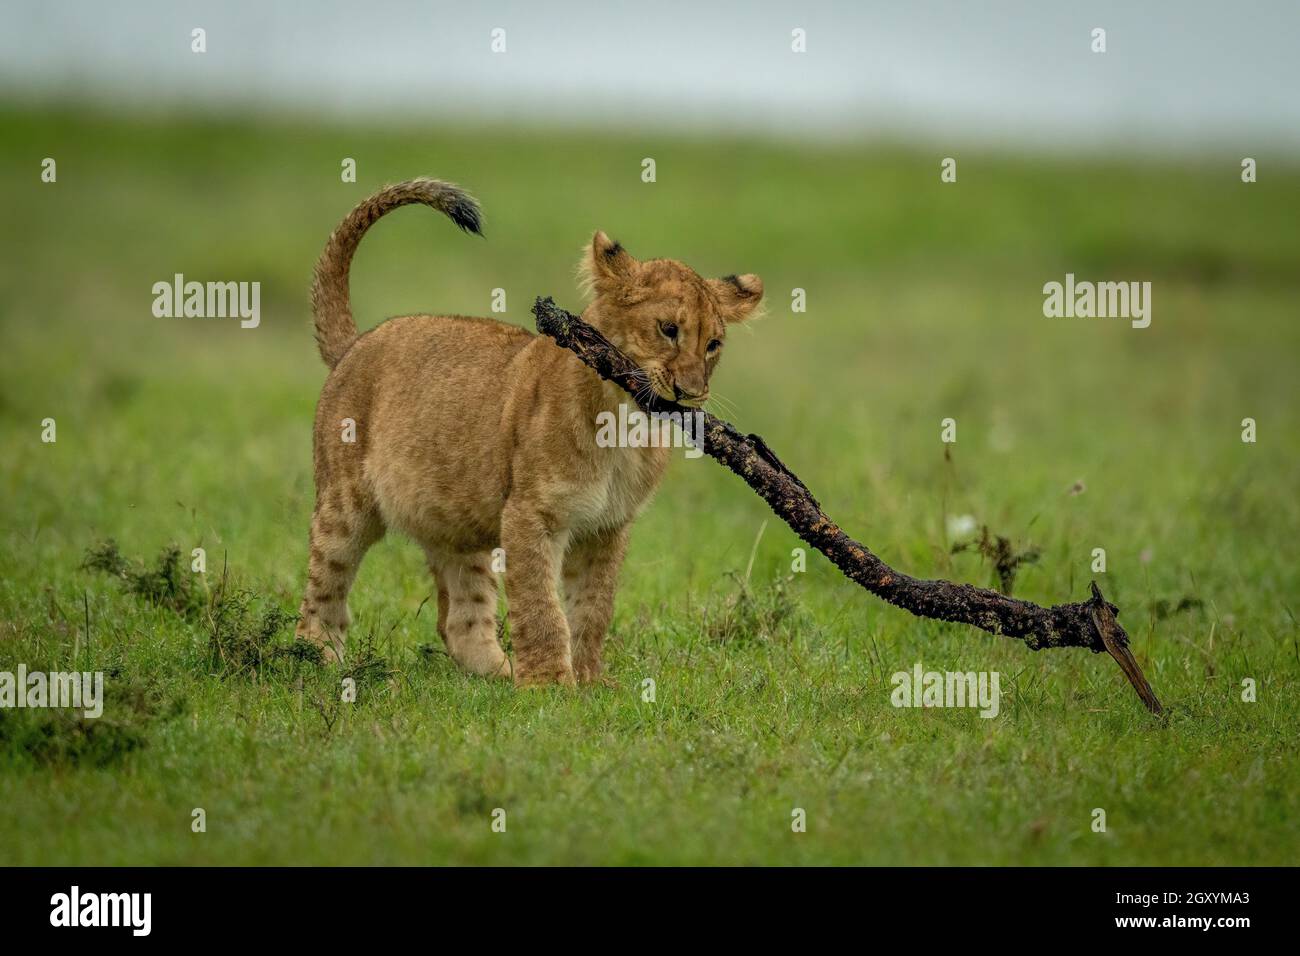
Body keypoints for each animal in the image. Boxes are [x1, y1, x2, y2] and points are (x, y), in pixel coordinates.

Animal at [296, 178, 763, 686]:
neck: (623, 428)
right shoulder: (531, 513)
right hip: (345, 504)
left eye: (713, 344)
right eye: (667, 329)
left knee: (461, 616)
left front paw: (589, 681)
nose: (691, 393)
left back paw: (496, 675)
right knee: (324, 584)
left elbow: (593, 607)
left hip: (456, 524)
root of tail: (355, 345)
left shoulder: (608, 526)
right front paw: (549, 686)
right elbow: (541, 606)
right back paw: (315, 659)